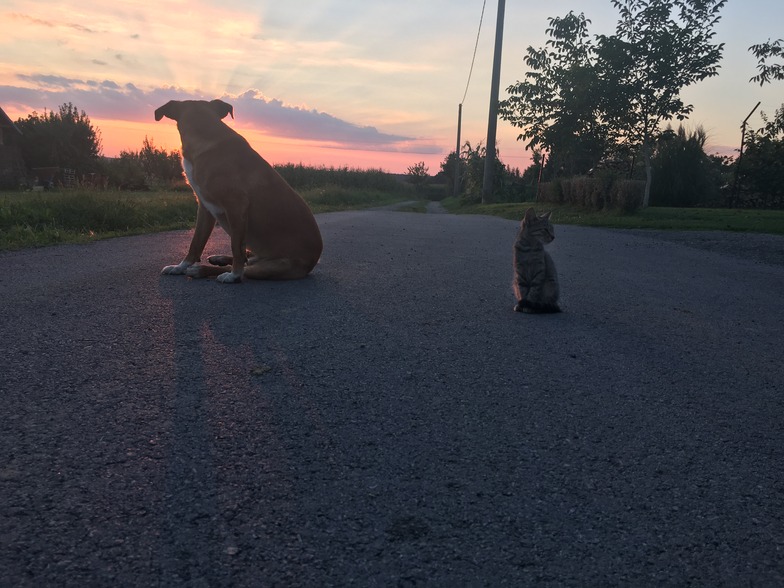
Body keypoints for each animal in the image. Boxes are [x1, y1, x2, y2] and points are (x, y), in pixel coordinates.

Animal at [156, 99, 322, 282]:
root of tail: (314, 259)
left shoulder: (236, 205)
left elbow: (236, 247)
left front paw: (233, 275)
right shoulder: (205, 207)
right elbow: (196, 243)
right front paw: (180, 267)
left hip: (273, 267)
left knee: (246, 265)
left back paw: (206, 270)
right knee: (247, 257)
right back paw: (218, 258)